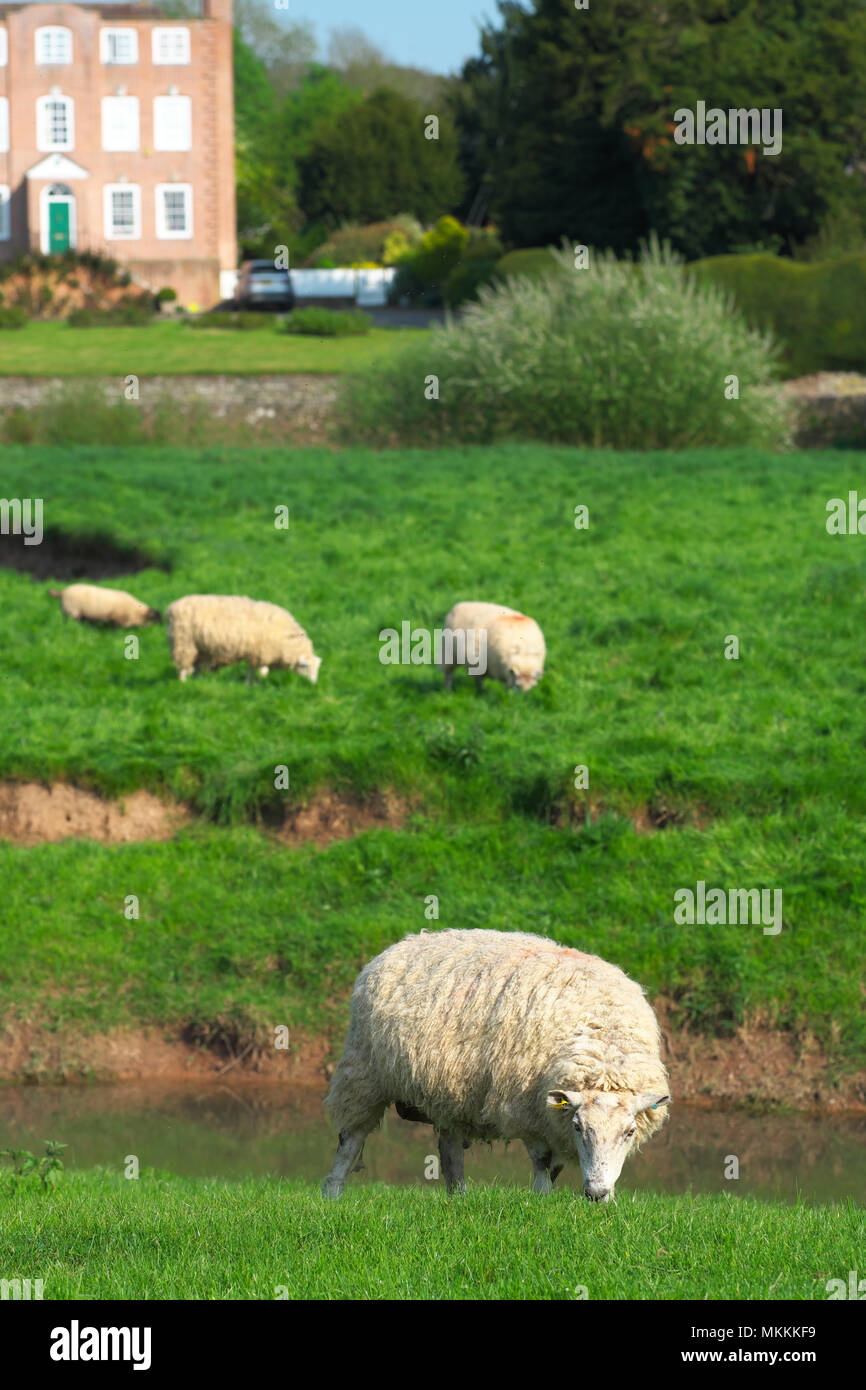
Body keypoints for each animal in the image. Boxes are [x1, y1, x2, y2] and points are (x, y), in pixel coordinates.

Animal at [165, 594, 322, 684]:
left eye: (317, 668)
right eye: (305, 666)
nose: (313, 685)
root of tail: (172, 607)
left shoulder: (258, 652)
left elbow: (256, 670)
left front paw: (253, 683)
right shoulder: (259, 651)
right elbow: (259, 671)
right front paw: (254, 684)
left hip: (202, 648)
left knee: (197, 667)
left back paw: (198, 682)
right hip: (184, 642)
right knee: (183, 666)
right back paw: (183, 683)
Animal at [323, 928, 670, 1201]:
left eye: (629, 1132)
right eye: (579, 1127)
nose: (597, 1194)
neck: (602, 1040)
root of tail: (402, 944)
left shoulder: (550, 1115)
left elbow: (554, 1166)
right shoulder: (525, 1107)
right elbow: (542, 1159)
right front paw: (542, 1199)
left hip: (449, 1094)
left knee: (450, 1153)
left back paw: (459, 1198)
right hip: (363, 1071)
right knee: (350, 1140)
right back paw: (332, 1194)